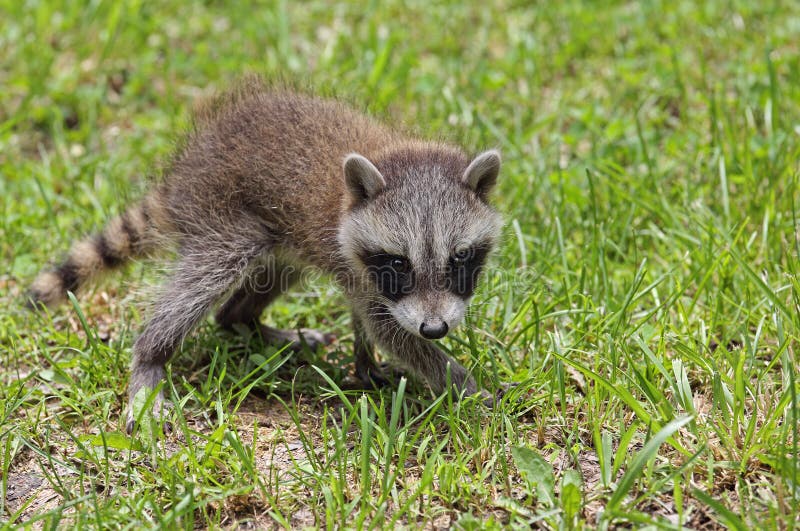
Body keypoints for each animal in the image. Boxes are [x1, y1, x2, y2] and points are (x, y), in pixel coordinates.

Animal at [28, 78, 505, 432]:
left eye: (460, 258)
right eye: (400, 263)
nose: (436, 329)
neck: (396, 154)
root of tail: (181, 175)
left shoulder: (354, 264)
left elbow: (370, 317)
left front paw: (365, 359)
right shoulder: (368, 270)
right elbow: (392, 331)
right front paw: (465, 385)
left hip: (283, 240)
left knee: (258, 287)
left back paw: (245, 321)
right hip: (221, 214)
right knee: (205, 278)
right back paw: (150, 356)